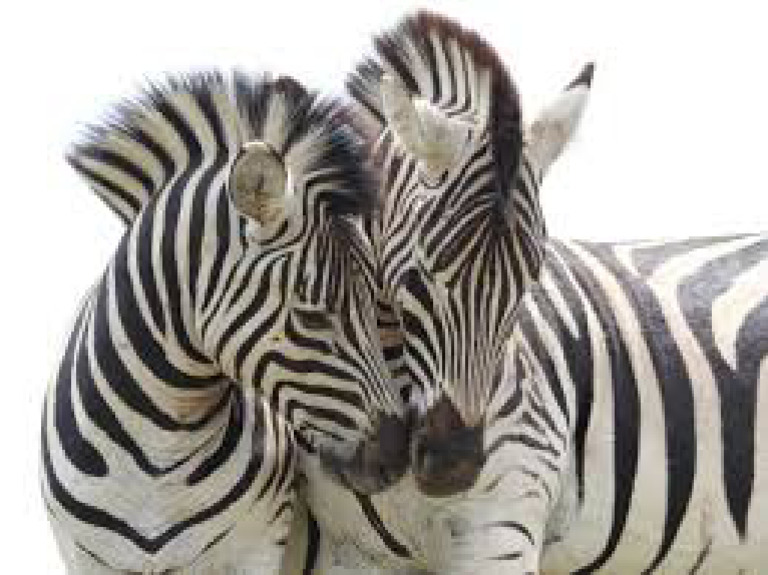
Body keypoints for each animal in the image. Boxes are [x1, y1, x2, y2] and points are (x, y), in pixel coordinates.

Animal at [41, 71, 409, 574]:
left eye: (376, 308)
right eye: (312, 317)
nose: (397, 455)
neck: (160, 450)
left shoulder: (257, 547)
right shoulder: (88, 559)